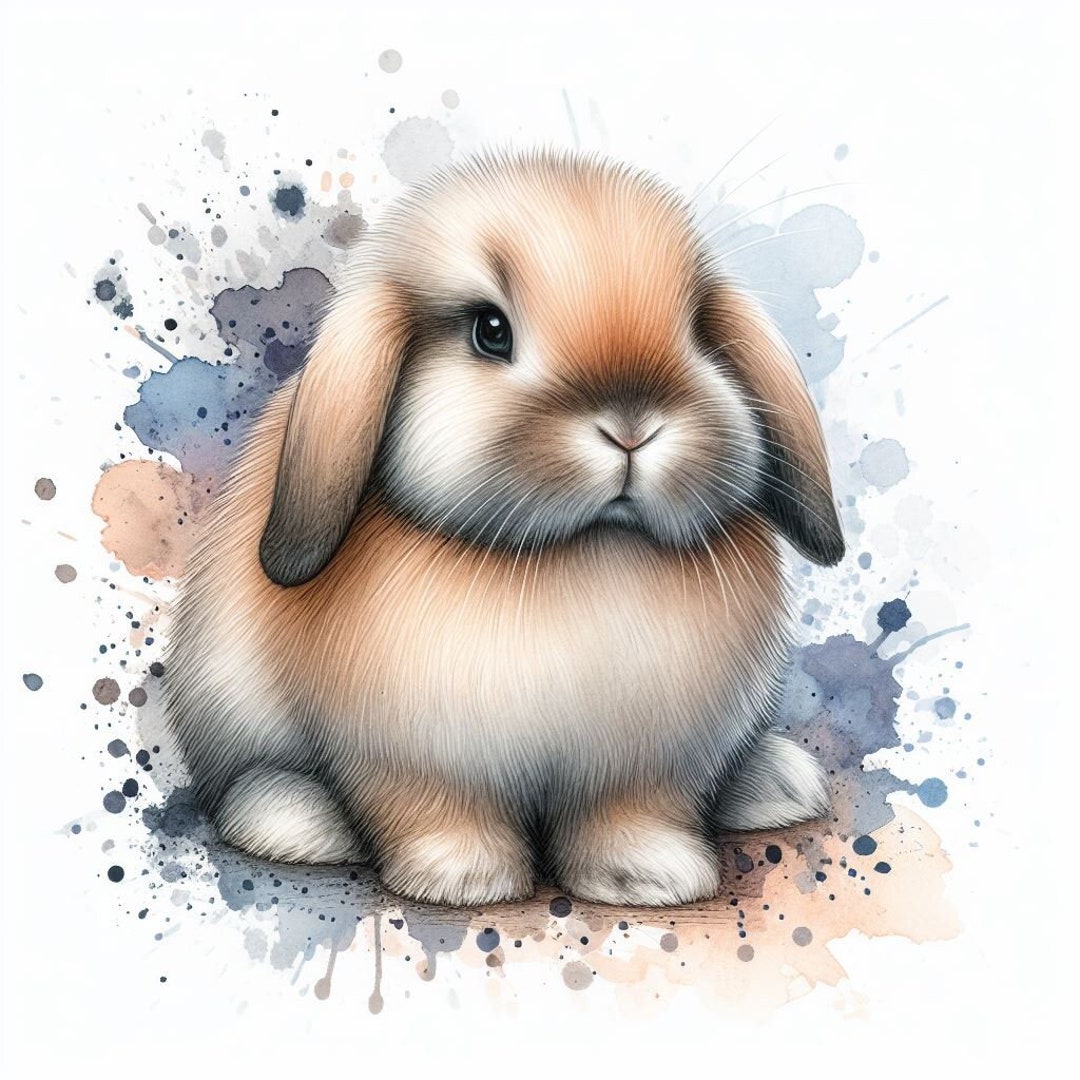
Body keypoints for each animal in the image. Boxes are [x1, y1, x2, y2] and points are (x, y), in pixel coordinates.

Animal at [164, 149, 844, 908]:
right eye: (490, 331)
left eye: (698, 329)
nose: (631, 425)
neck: (581, 555)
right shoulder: (412, 760)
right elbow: (433, 809)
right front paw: (464, 877)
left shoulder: (648, 765)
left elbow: (632, 813)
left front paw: (648, 875)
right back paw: (295, 819)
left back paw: (778, 782)